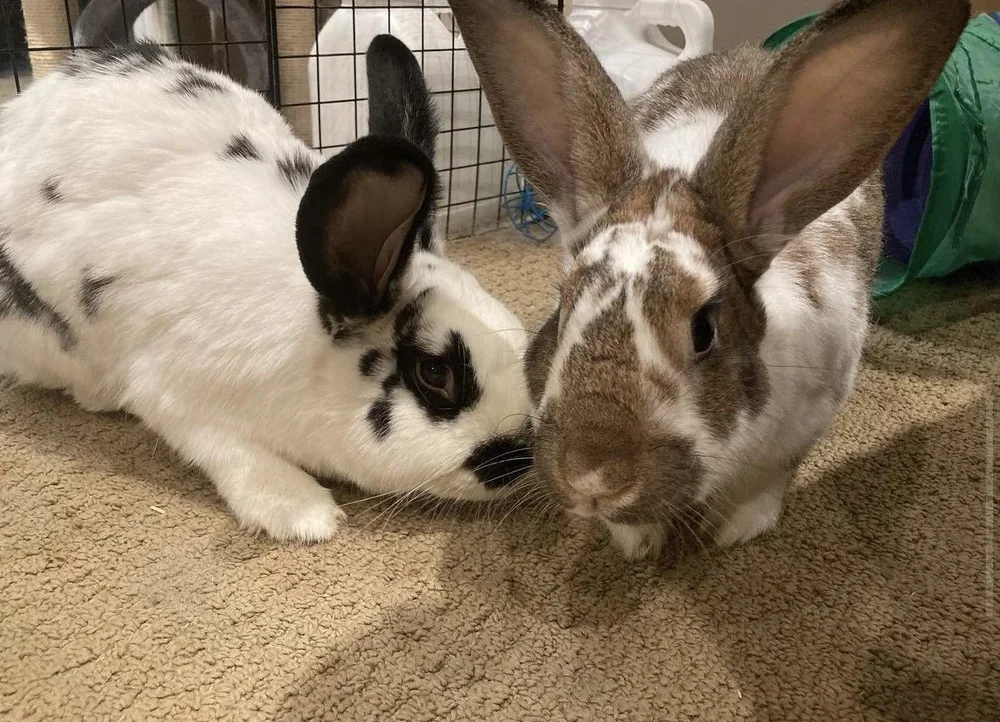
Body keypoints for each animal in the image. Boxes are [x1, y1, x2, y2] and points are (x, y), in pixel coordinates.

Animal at [447, 0, 970, 559]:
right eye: (563, 308)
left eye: (704, 330)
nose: (591, 477)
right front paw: (639, 543)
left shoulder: (799, 431)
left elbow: (763, 485)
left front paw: (733, 532)